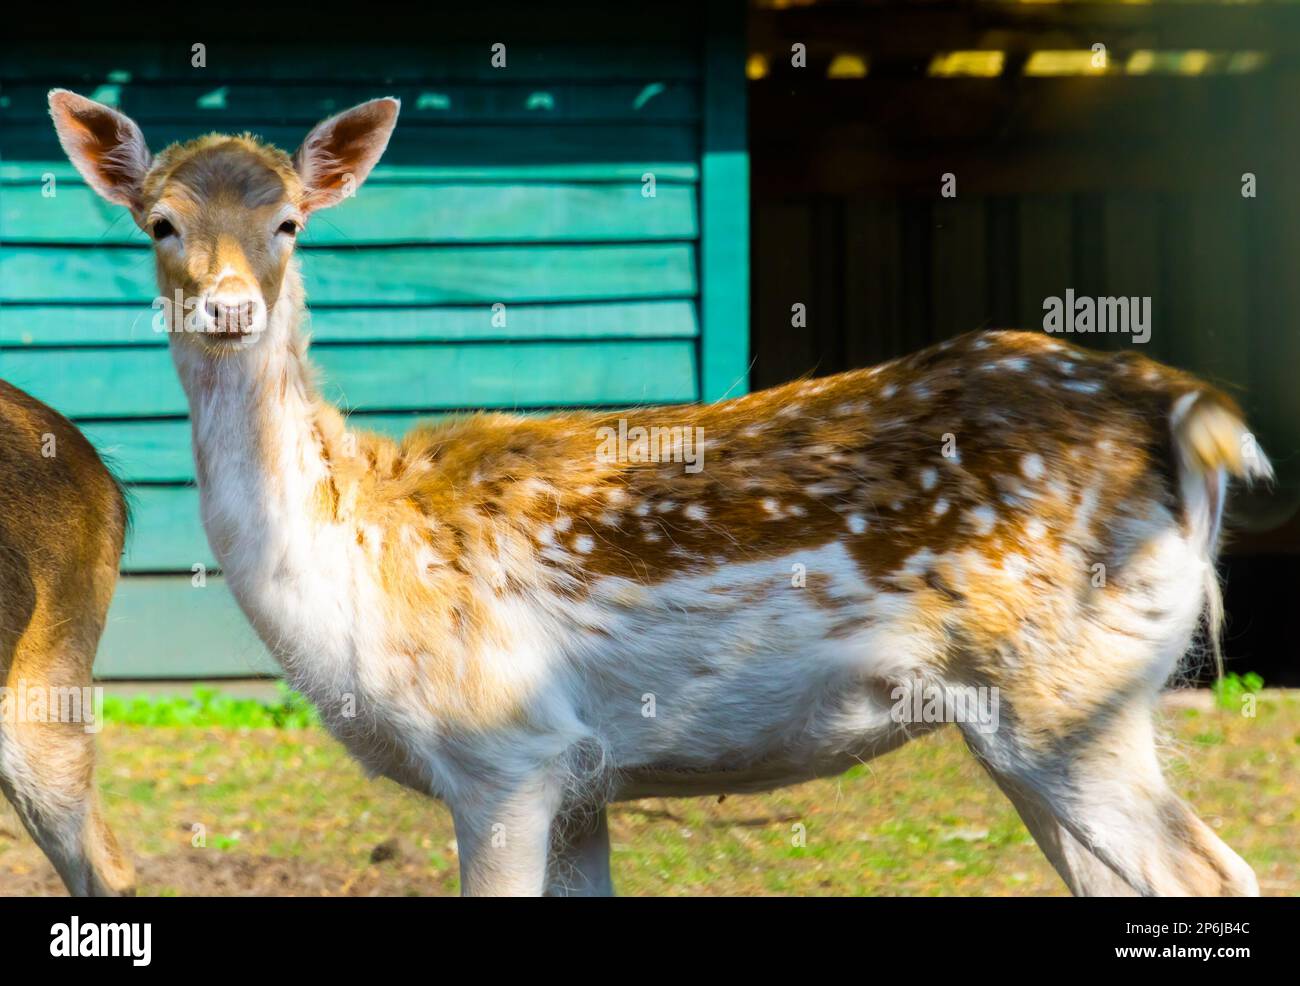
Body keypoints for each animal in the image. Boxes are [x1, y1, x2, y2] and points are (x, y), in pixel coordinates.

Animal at [49, 88, 1269, 897]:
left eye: (289, 221)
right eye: (160, 222)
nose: (226, 305)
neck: (356, 559)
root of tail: (1194, 419)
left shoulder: (502, 746)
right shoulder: (584, 780)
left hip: (1064, 690)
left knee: (1213, 876)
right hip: (1055, 710)